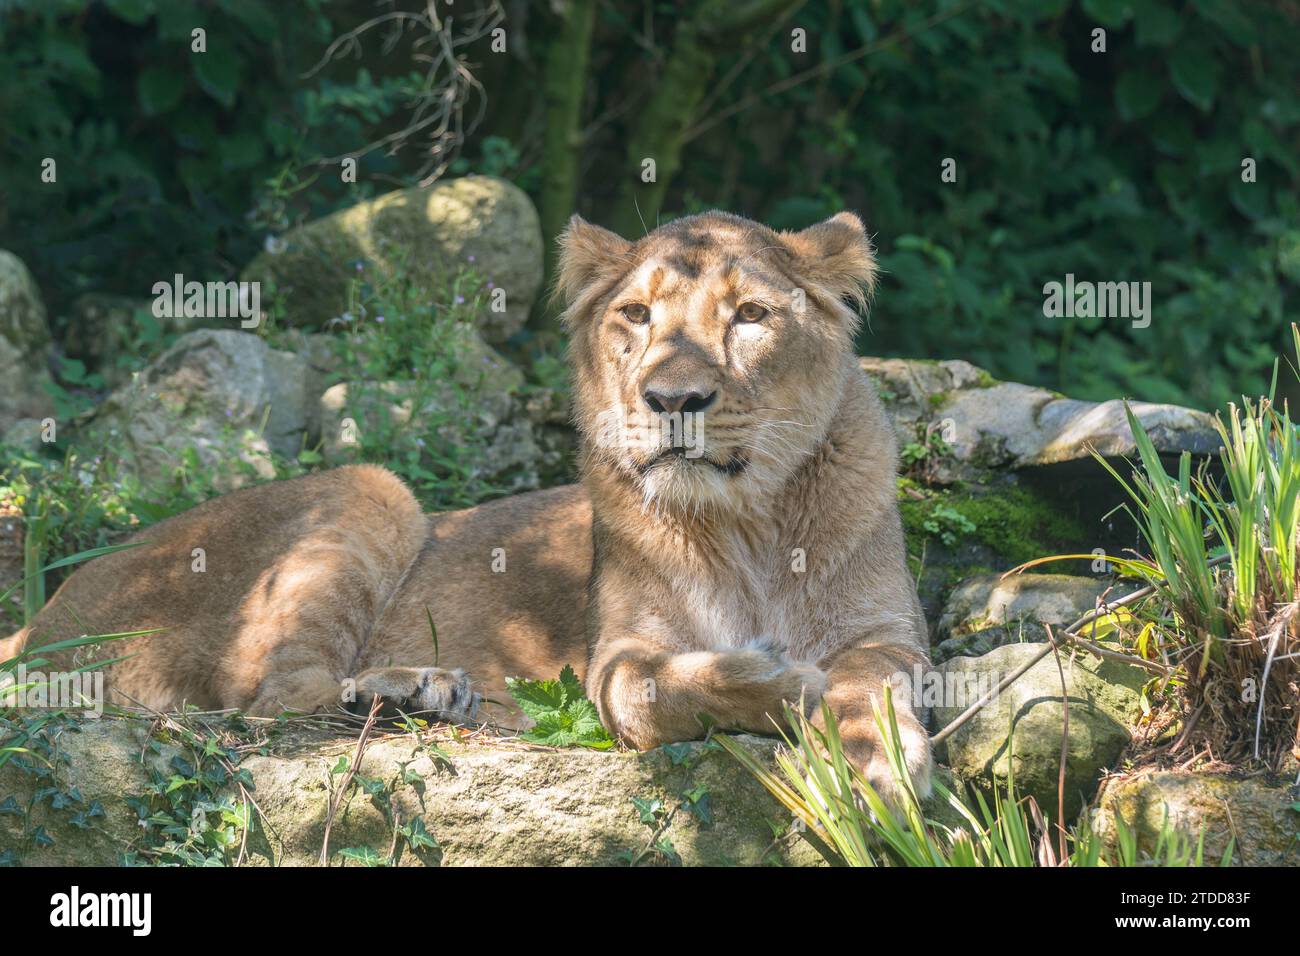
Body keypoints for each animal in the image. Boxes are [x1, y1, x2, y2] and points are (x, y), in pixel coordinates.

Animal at [3, 210, 932, 797]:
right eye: (635, 314)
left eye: (750, 316)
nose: (672, 399)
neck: (745, 521)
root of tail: (45, 613)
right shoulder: (615, 658)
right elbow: (668, 689)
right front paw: (784, 681)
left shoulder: (887, 634)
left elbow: (871, 688)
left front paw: (874, 763)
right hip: (370, 487)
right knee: (271, 702)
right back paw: (420, 689)